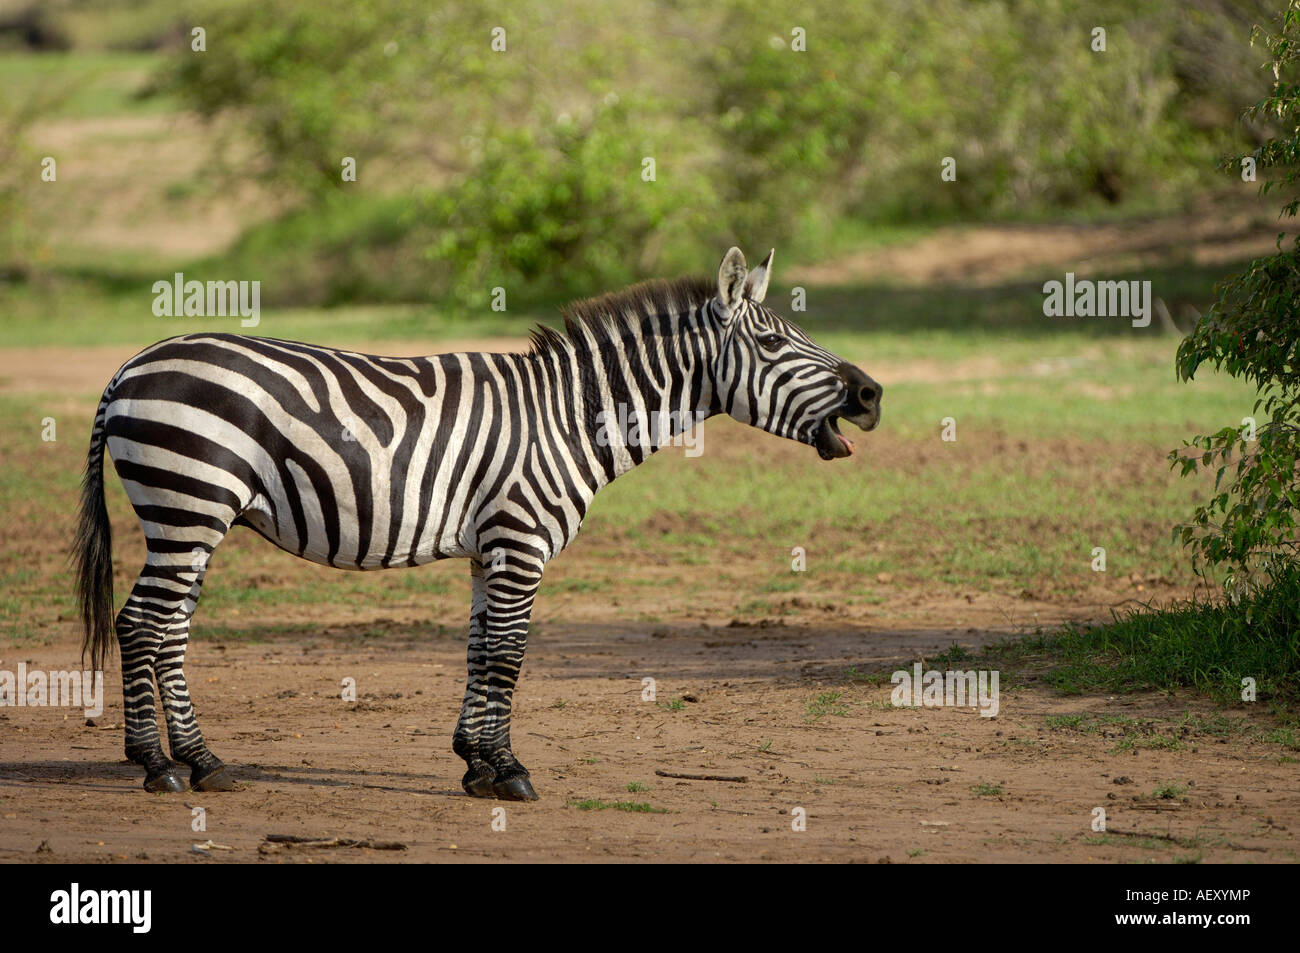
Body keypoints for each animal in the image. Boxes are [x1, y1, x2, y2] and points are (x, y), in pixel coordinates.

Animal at [75, 246, 882, 800]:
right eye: (775, 344)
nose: (873, 393)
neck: (570, 417)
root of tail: (131, 365)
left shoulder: (486, 549)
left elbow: (477, 649)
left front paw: (474, 764)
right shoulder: (521, 542)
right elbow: (509, 654)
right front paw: (509, 770)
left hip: (191, 517)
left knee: (170, 628)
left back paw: (204, 762)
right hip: (188, 503)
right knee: (141, 624)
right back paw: (157, 766)